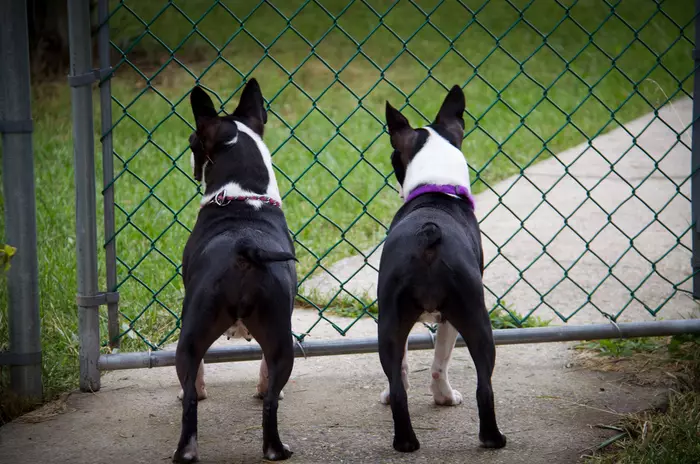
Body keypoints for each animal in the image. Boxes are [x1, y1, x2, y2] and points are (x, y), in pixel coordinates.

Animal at [380, 85, 506, 452]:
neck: (437, 190)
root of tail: (429, 232)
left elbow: (411, 367)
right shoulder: (450, 319)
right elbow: (440, 362)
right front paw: (443, 398)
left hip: (393, 321)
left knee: (400, 382)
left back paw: (407, 442)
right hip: (475, 316)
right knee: (484, 385)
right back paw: (490, 437)